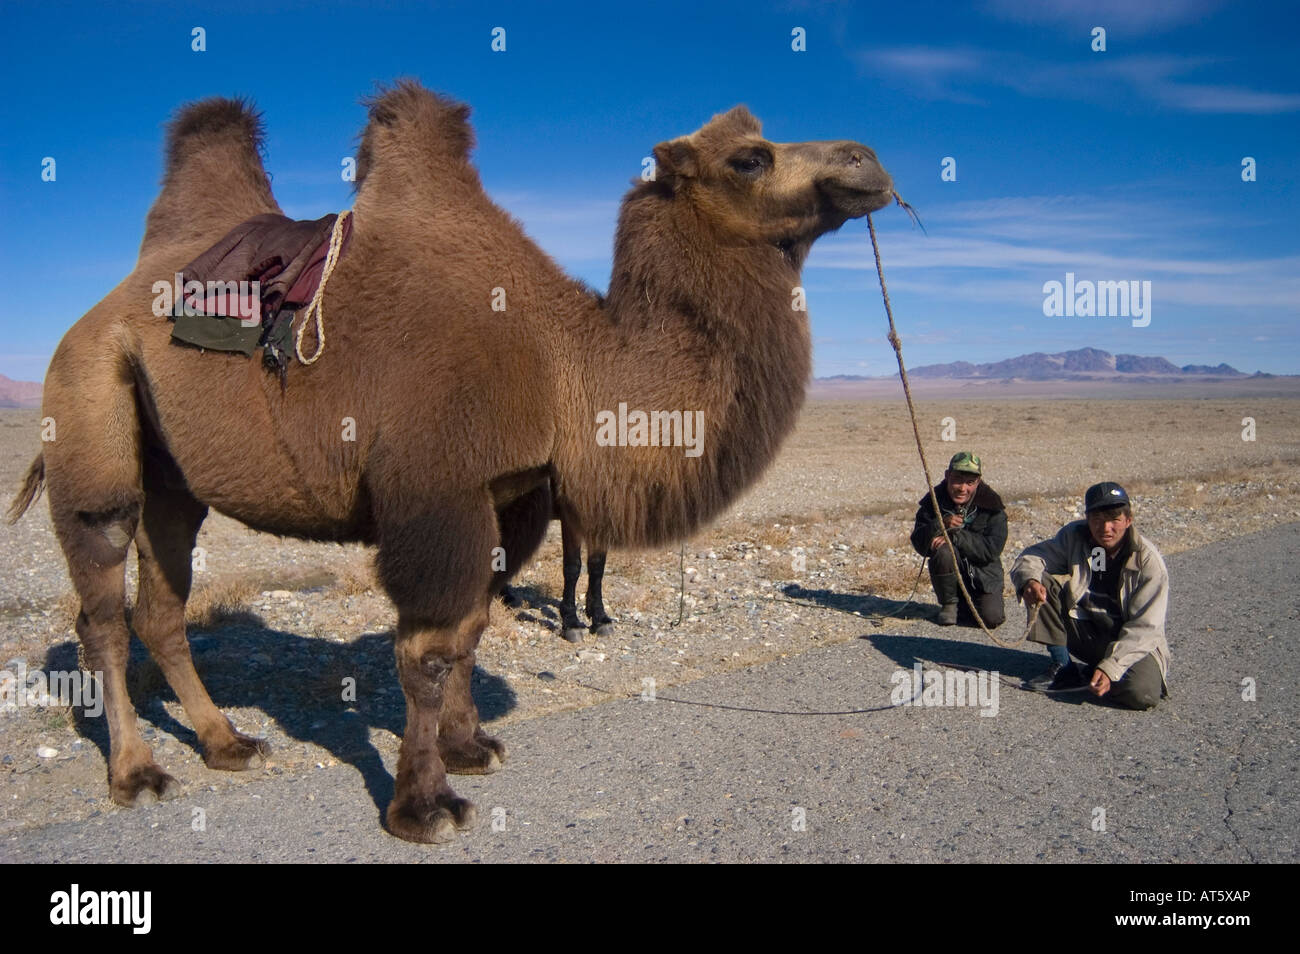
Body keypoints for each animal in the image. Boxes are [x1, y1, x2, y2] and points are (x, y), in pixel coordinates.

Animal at [9, 80, 893, 843]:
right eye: (749, 158)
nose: (867, 161)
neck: (566, 363)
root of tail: (98, 311)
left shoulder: (510, 494)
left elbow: (472, 630)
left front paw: (471, 749)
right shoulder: (436, 492)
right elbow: (428, 652)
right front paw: (423, 804)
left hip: (174, 478)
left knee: (161, 607)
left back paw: (228, 744)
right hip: (90, 408)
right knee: (102, 607)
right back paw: (136, 774)